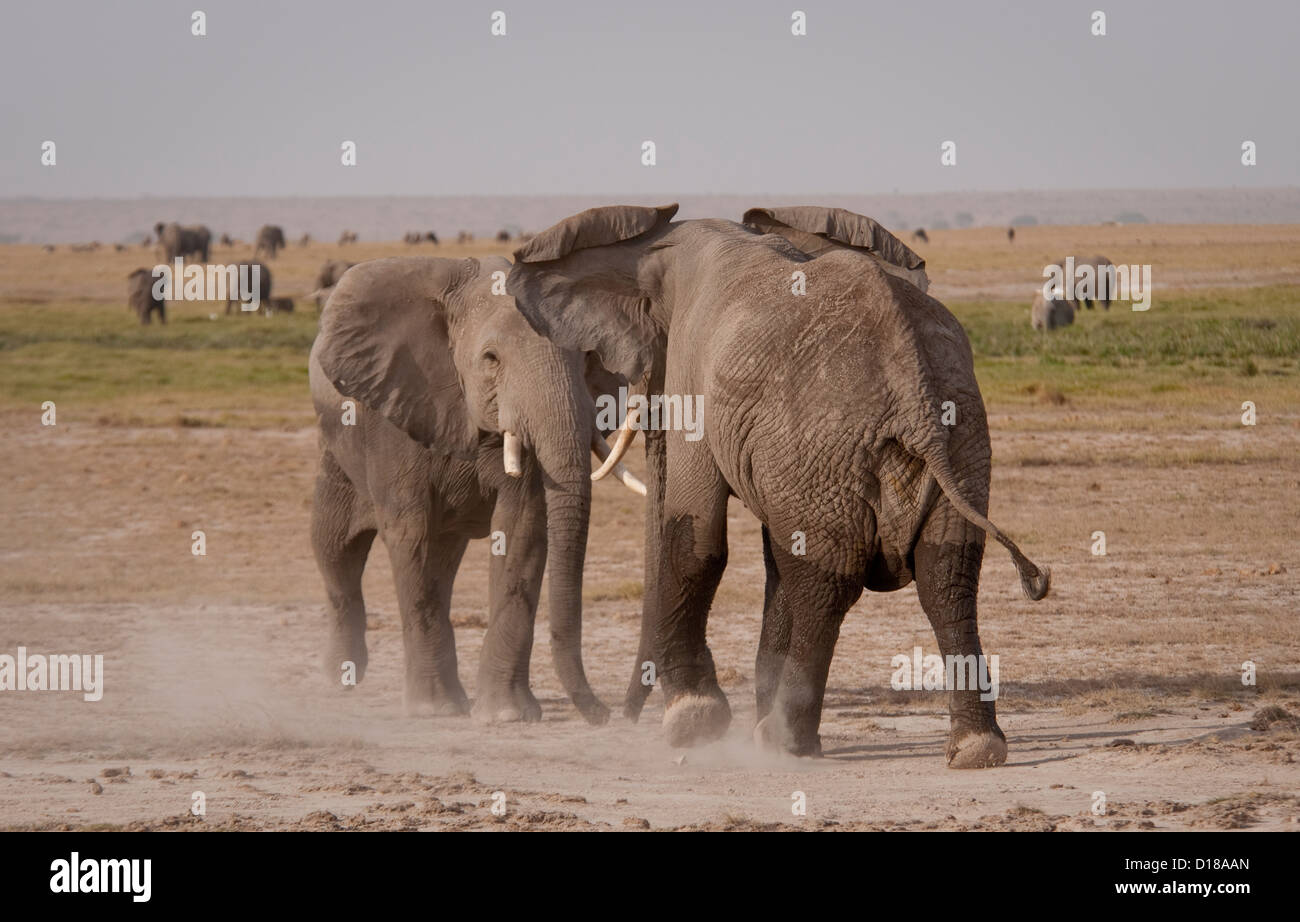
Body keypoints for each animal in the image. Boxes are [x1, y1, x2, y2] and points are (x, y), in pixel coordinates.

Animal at [309, 256, 644, 723]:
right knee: (336, 548)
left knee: (441, 558)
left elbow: (522, 529)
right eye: (491, 358)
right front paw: (433, 711)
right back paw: (340, 680)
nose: (606, 715)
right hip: (338, 447)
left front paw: (507, 715)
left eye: (586, 359)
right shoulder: (393, 416)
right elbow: (410, 533)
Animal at [507, 204, 1050, 767]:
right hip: (953, 436)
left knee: (825, 584)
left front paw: (693, 721)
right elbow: (773, 554)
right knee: (944, 576)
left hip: (835, 441)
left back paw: (785, 739)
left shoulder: (696, 373)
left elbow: (696, 535)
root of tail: (912, 382)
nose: (627, 717)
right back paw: (976, 748)